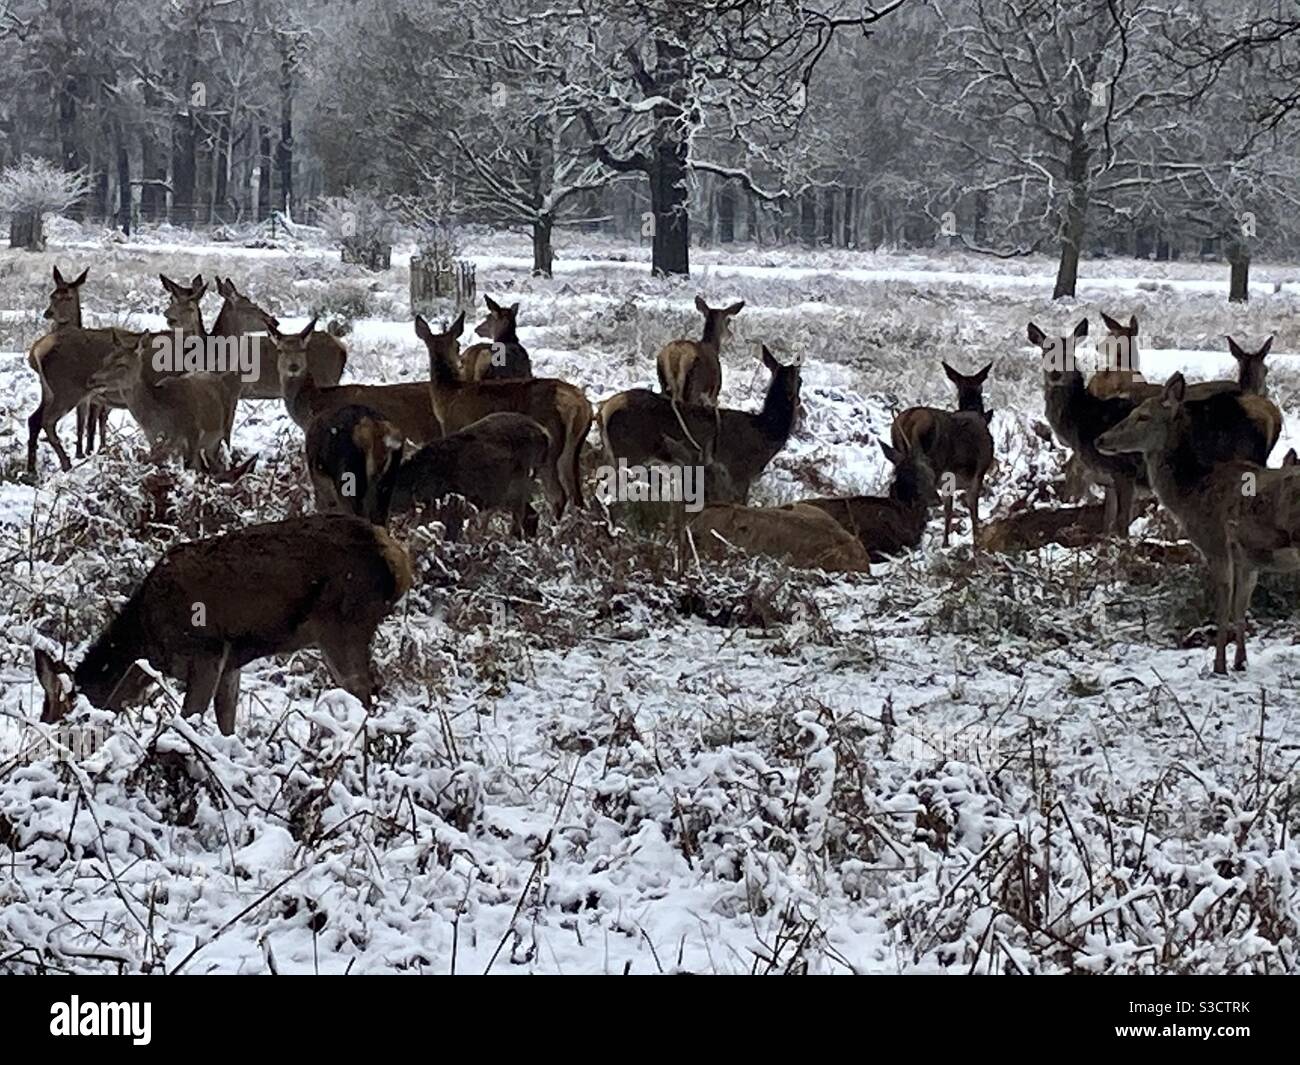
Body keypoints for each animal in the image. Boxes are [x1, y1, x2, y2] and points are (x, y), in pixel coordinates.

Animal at [32, 513, 411, 735]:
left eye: (56, 722)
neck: (149, 640)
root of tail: (398, 559)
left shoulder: (207, 651)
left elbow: (190, 718)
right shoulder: (231, 660)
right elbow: (226, 719)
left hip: (342, 622)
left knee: (366, 696)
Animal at [414, 312, 593, 518]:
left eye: (457, 345)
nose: (460, 360)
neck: (449, 394)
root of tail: (580, 404)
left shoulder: (455, 428)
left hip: (550, 444)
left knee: (558, 495)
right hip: (572, 449)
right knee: (576, 494)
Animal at [600, 344, 802, 504]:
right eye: (800, 380)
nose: (798, 400)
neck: (765, 433)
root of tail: (605, 410)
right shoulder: (737, 474)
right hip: (630, 454)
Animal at [889, 360, 994, 547]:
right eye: (981, 388)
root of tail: (910, 419)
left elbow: (949, 509)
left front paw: (945, 542)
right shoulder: (977, 474)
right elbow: (971, 510)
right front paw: (975, 542)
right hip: (932, 467)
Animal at [1096, 373, 1300, 674]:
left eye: (1143, 416)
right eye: (1131, 413)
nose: (1101, 438)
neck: (1192, 493)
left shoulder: (1215, 544)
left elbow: (1223, 608)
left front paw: (1219, 666)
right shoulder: (1247, 560)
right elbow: (1240, 608)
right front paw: (1240, 662)